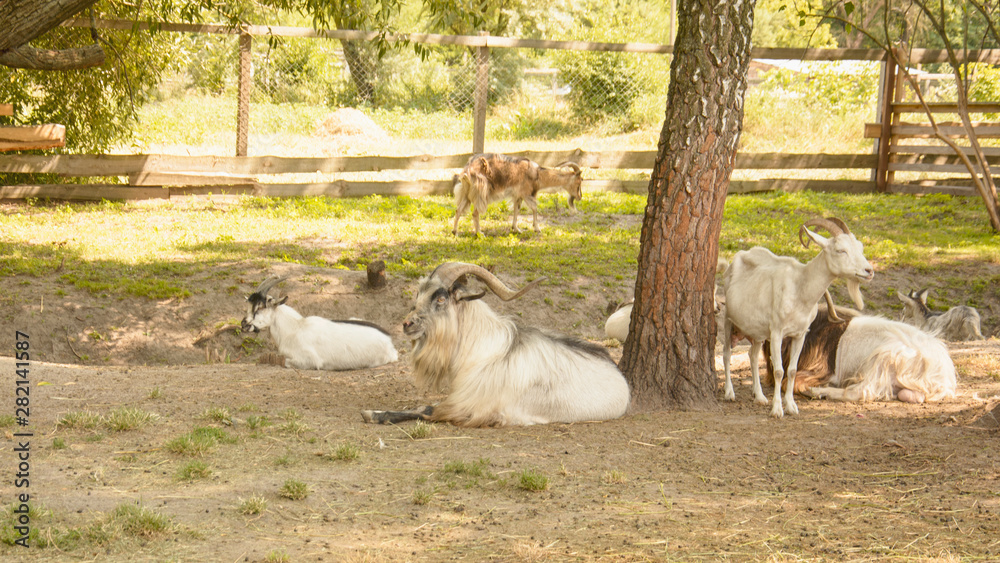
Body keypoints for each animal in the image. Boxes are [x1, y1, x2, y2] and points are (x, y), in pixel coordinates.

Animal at [242, 276, 398, 371]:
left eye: (260, 307)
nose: (244, 324)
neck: (295, 328)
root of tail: (390, 343)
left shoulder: (310, 361)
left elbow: (285, 362)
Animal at [361, 262, 630, 427]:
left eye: (441, 298)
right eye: (419, 294)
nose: (407, 323)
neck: (479, 351)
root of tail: (622, 383)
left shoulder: (470, 408)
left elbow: (425, 409)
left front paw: (373, 414)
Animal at [452, 153, 583, 236]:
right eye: (580, 180)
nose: (580, 197)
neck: (537, 174)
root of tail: (467, 170)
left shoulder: (518, 196)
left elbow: (516, 210)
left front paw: (516, 229)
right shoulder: (527, 194)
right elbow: (535, 208)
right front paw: (537, 228)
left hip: (466, 193)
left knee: (458, 210)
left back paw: (455, 232)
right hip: (481, 194)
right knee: (475, 213)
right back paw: (479, 233)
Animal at [721, 217, 875, 418]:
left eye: (860, 247)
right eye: (841, 250)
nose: (869, 271)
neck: (800, 287)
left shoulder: (800, 334)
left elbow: (792, 370)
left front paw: (792, 406)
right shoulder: (777, 332)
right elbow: (779, 371)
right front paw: (777, 410)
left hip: (758, 331)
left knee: (753, 356)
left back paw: (760, 396)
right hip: (728, 318)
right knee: (726, 353)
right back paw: (729, 393)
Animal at [762, 306, 957, 404]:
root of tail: (943, 377)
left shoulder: (821, 370)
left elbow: (788, 382)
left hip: (885, 356)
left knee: (862, 391)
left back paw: (818, 392)